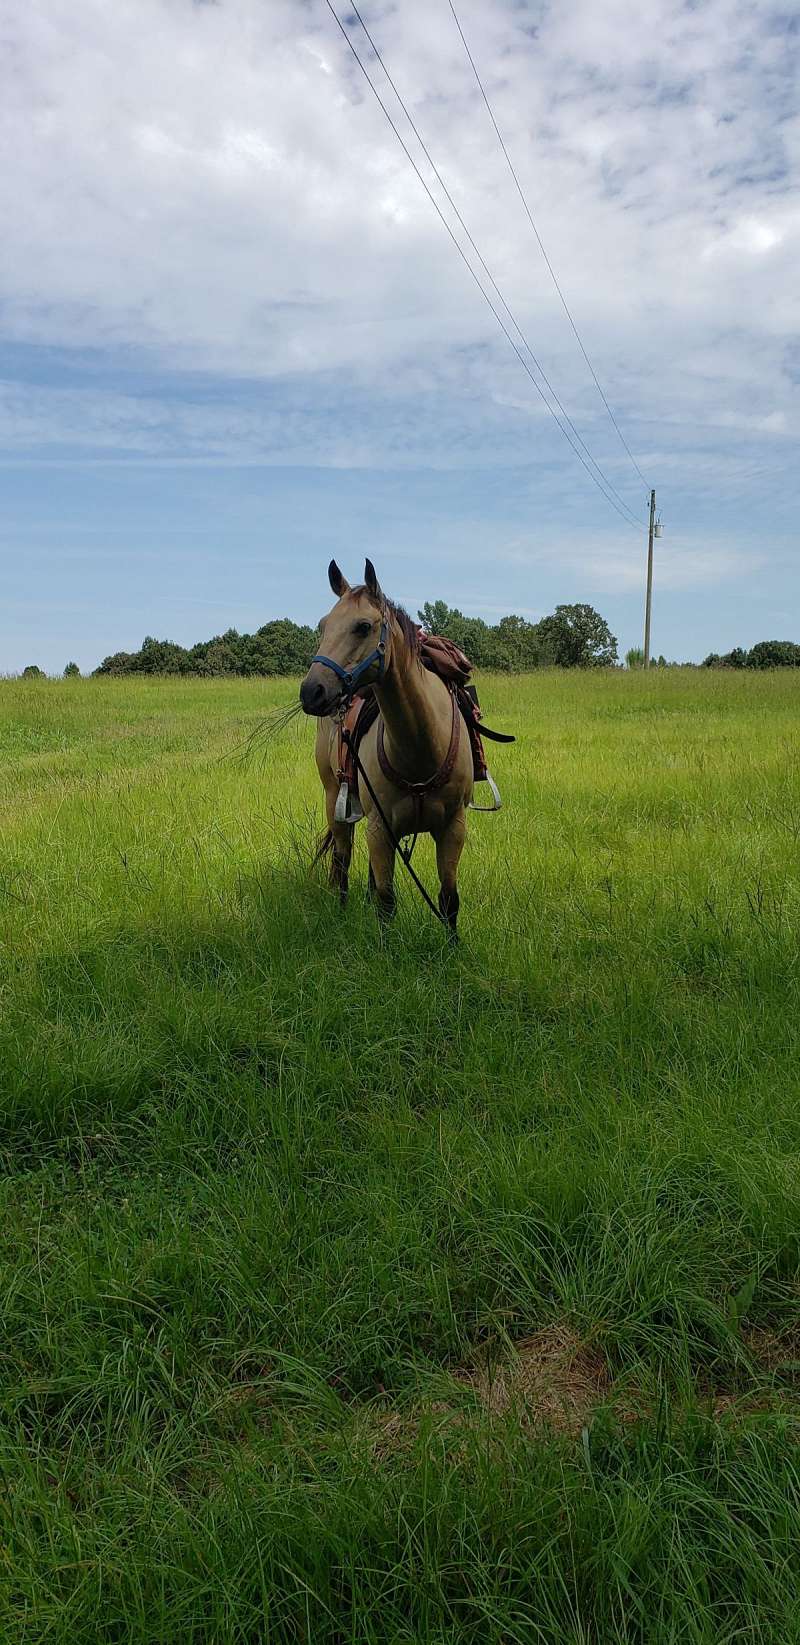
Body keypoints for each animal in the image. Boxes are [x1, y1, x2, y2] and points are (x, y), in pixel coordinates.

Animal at [299, 558, 473, 934]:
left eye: (363, 626)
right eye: (323, 625)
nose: (311, 692)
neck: (422, 744)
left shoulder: (452, 827)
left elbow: (448, 900)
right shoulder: (380, 828)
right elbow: (386, 903)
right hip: (334, 799)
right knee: (342, 861)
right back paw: (342, 913)